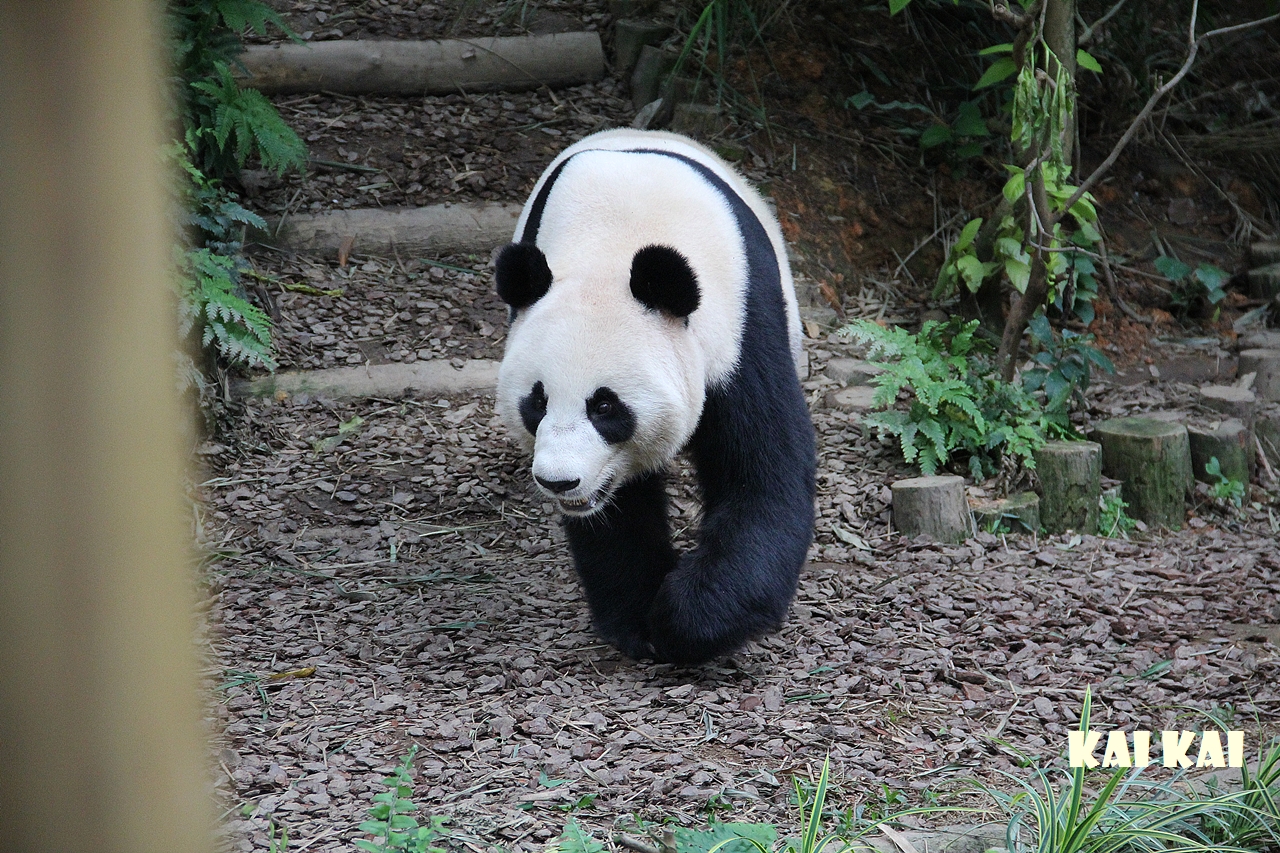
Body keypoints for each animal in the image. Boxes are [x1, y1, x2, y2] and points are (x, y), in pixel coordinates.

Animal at [493, 128, 816, 665]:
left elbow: (762, 478)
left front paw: (687, 619)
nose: (559, 482)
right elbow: (618, 511)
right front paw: (638, 618)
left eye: (605, 406)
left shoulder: (741, 328)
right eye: (536, 402)